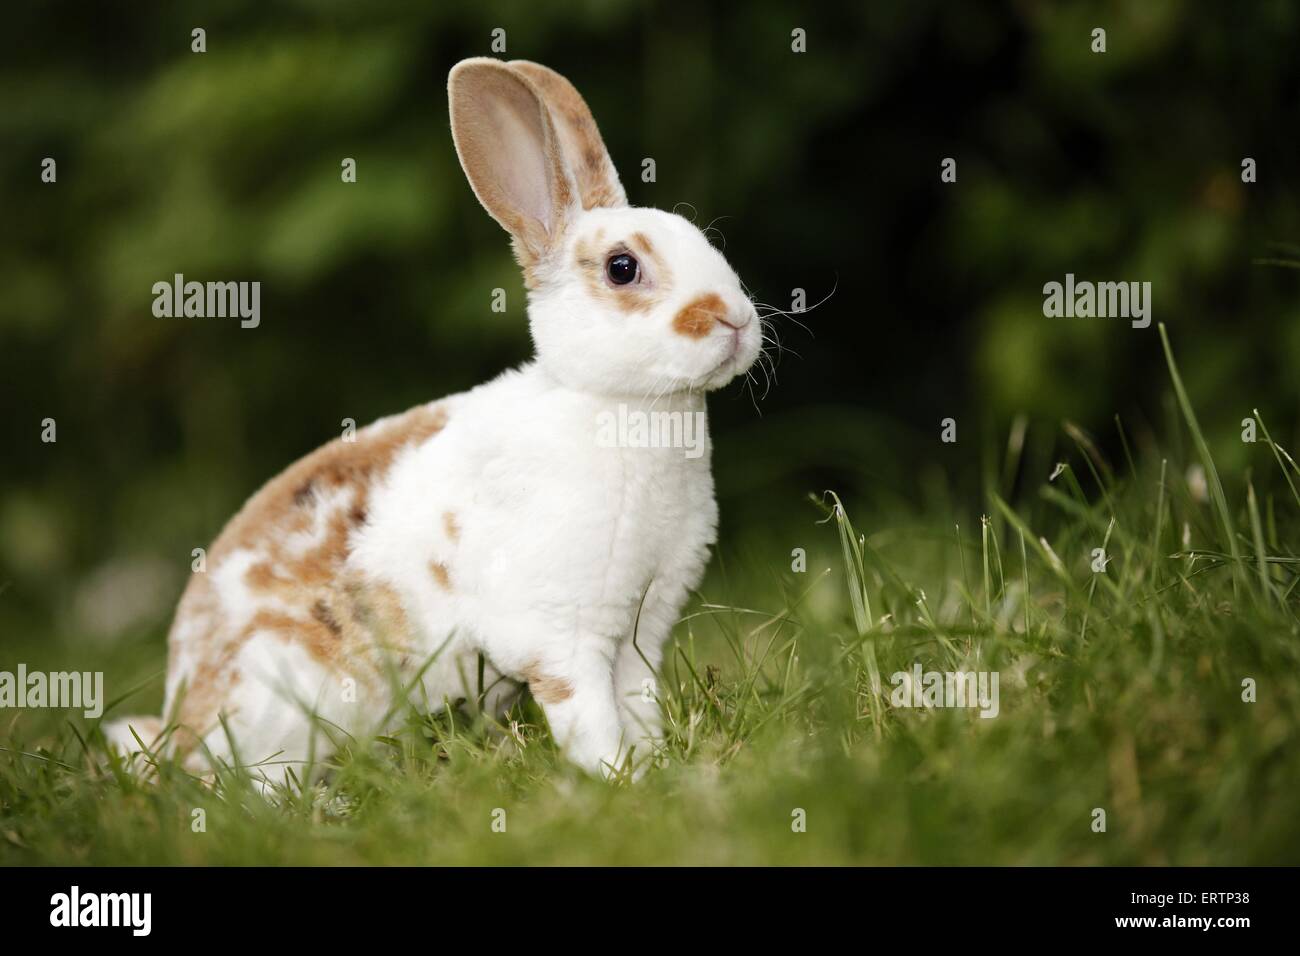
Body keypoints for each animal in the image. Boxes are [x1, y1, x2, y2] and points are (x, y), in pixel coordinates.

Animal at [103, 57, 763, 787]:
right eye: (623, 267)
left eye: (706, 243)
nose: (736, 318)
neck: (623, 409)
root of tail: (181, 724)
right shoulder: (562, 635)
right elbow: (586, 713)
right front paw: (617, 780)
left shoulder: (641, 631)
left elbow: (637, 704)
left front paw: (656, 768)